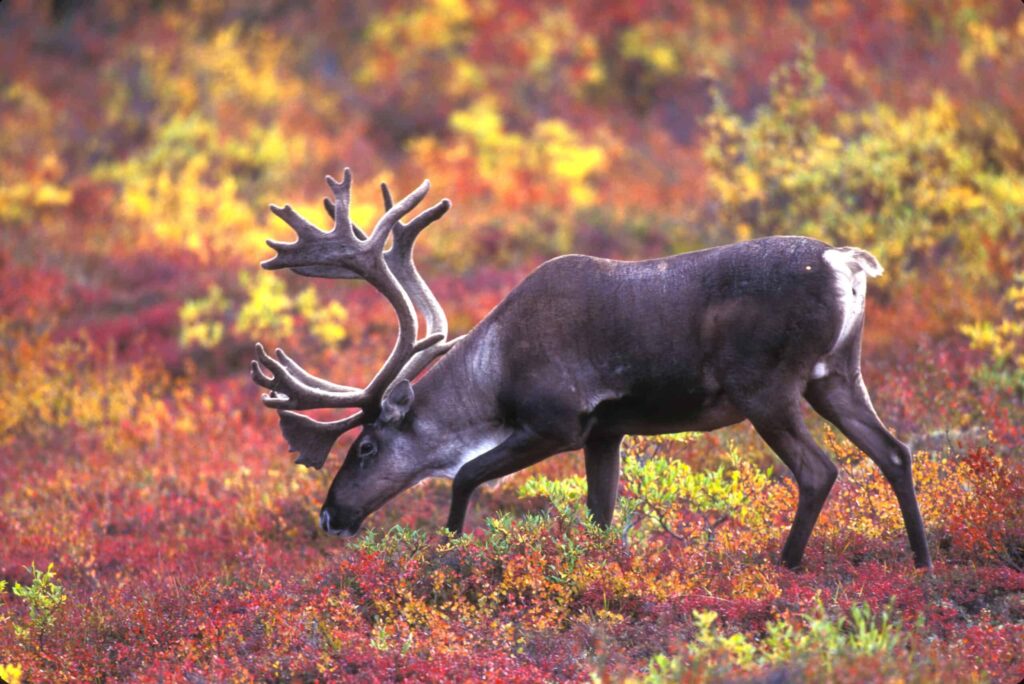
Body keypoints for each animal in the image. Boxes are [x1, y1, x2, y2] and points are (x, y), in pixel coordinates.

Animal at [250, 168, 932, 570]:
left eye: (365, 446)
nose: (330, 516)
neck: (493, 374)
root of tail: (848, 264)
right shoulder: (609, 432)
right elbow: (600, 512)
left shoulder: (556, 424)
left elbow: (464, 475)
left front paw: (450, 554)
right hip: (836, 375)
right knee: (895, 451)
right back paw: (922, 562)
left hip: (769, 389)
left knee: (819, 470)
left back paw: (785, 566)